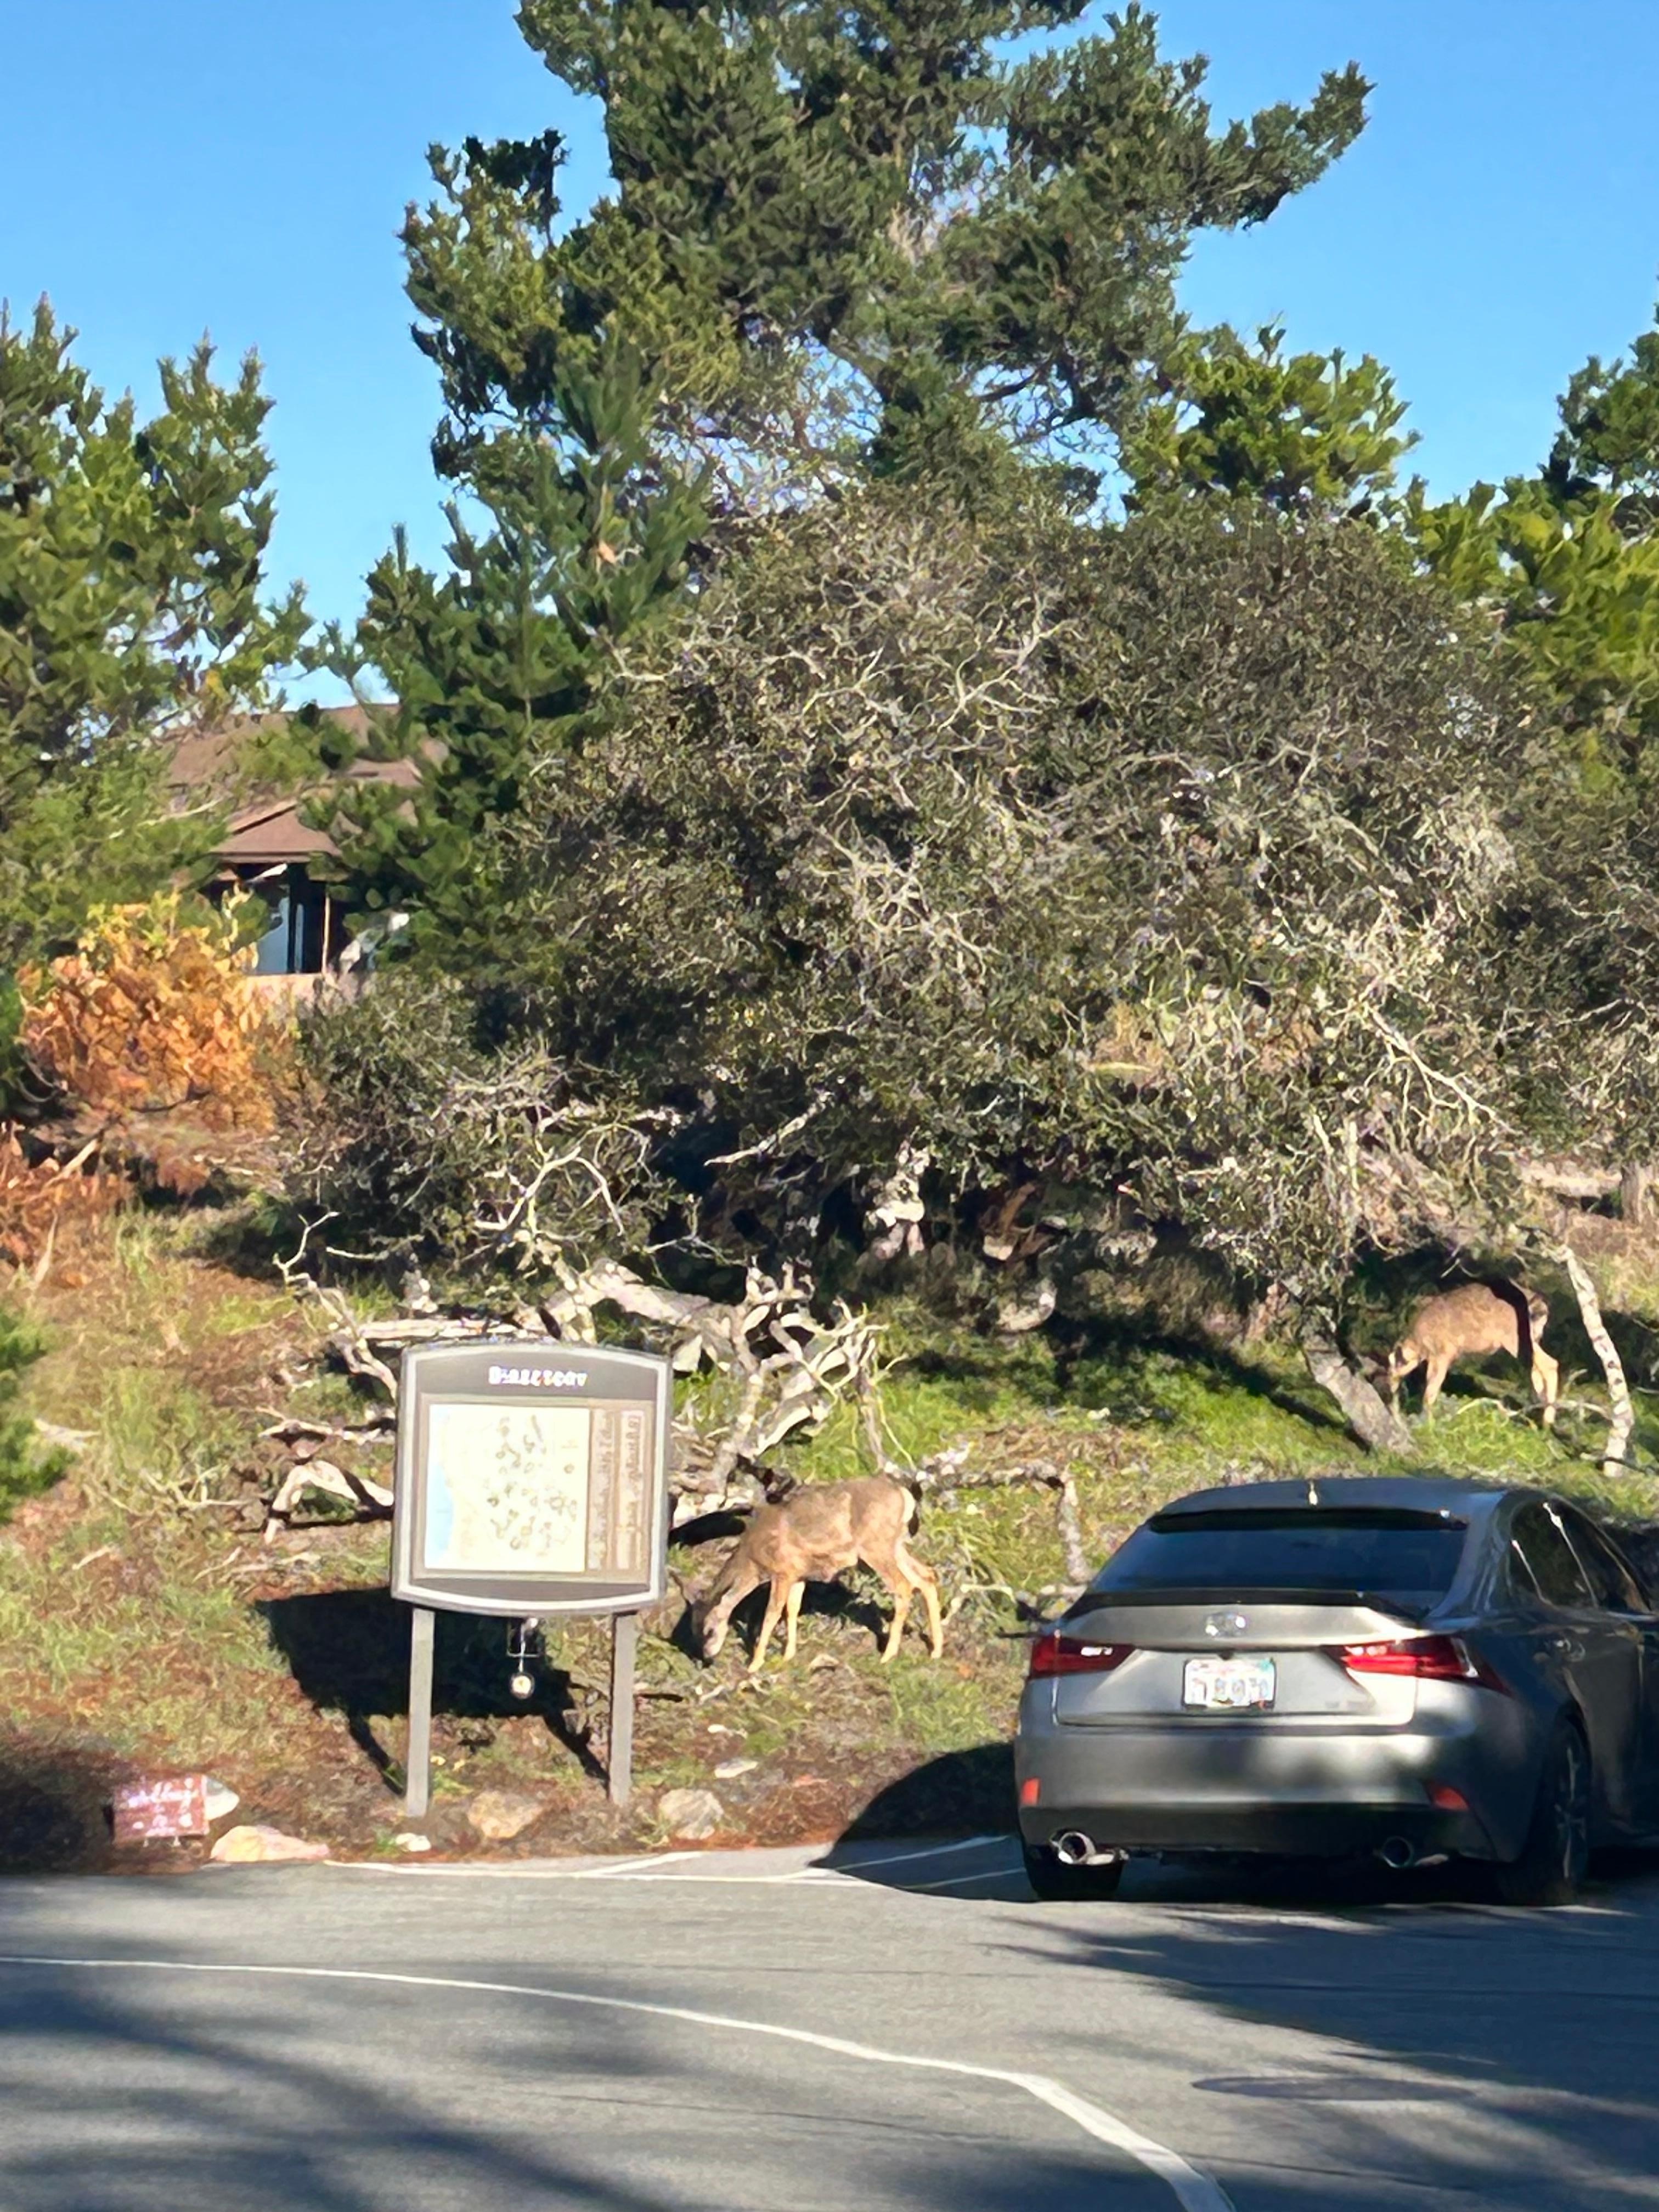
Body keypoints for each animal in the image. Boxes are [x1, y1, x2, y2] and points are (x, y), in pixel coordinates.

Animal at [697, 1474, 944, 1673]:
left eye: (708, 1630)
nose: (706, 1659)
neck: (753, 1557)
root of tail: (904, 1494)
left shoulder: (783, 1572)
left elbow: (772, 1614)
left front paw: (755, 1664)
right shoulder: (799, 1575)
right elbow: (792, 1610)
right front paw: (788, 1655)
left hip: (876, 1547)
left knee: (904, 1586)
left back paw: (887, 1655)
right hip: (896, 1546)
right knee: (927, 1576)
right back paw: (936, 1651)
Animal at [1387, 1282, 1559, 1427]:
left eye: (1394, 1368)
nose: (1391, 1389)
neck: (1419, 1343)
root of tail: (1539, 1306)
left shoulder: (1442, 1354)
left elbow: (1430, 1392)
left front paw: (1429, 1426)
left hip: (1515, 1339)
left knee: (1550, 1364)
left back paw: (1548, 1420)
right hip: (1533, 1338)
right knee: (1538, 1372)